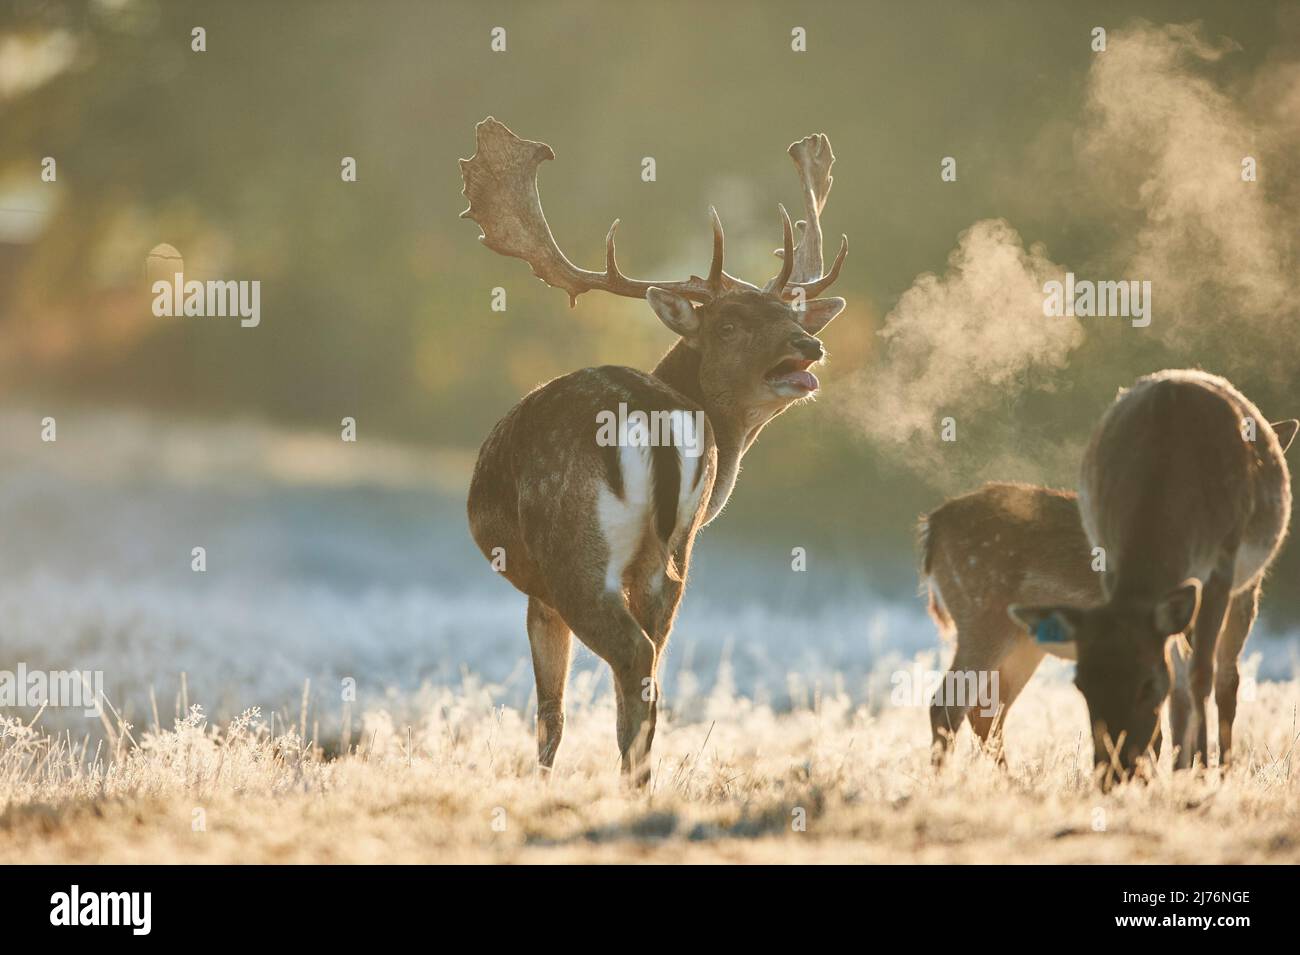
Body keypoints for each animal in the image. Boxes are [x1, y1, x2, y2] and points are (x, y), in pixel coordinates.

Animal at [460, 118, 848, 785]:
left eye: (790, 314)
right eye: (728, 325)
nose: (809, 345)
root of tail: (654, 417)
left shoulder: (537, 591)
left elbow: (550, 713)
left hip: (574, 554)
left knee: (631, 659)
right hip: (671, 558)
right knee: (652, 673)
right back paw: (639, 783)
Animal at [1007, 370, 1296, 787]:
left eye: (1148, 685)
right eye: (1080, 684)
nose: (1114, 772)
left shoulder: (1221, 564)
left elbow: (1199, 674)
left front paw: (1200, 773)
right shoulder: (1108, 558)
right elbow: (1180, 674)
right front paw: (1161, 766)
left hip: (1247, 584)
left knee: (1225, 674)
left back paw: (1220, 769)